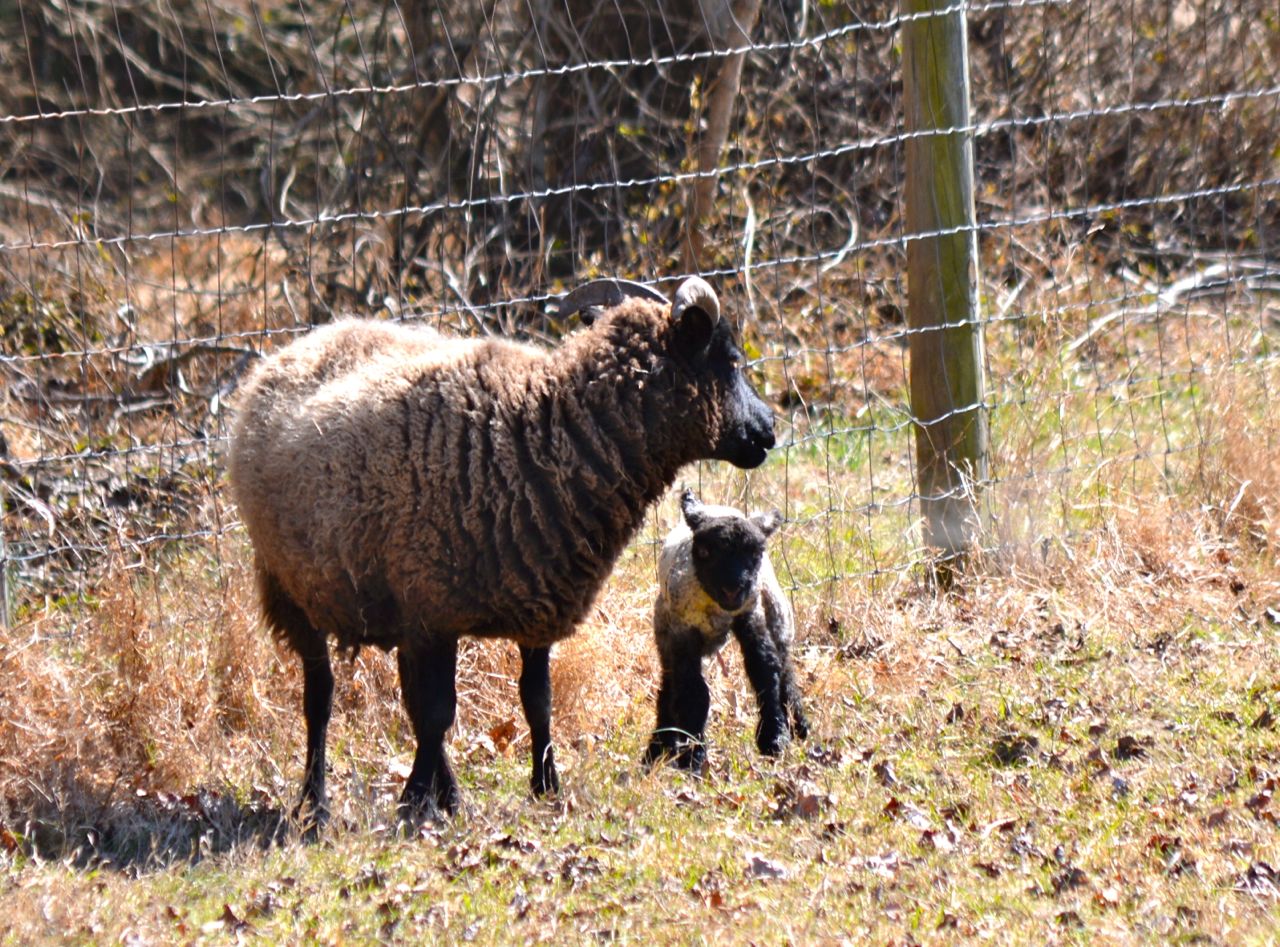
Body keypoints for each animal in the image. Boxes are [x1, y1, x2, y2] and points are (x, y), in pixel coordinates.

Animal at [228, 276, 776, 824]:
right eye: (729, 359)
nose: (769, 429)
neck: (548, 431)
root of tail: (293, 349)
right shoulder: (435, 611)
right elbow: (437, 713)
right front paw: (415, 801)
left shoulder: (535, 598)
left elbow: (535, 701)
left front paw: (544, 786)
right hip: (293, 587)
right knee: (320, 698)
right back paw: (315, 801)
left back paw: (440, 792)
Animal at [644, 489, 807, 773]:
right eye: (705, 551)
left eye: (756, 554)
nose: (733, 589)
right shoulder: (683, 631)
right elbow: (694, 691)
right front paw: (693, 756)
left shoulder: (750, 615)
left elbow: (765, 669)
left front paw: (774, 738)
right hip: (664, 627)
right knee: (669, 681)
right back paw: (661, 743)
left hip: (776, 613)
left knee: (785, 669)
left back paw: (799, 725)